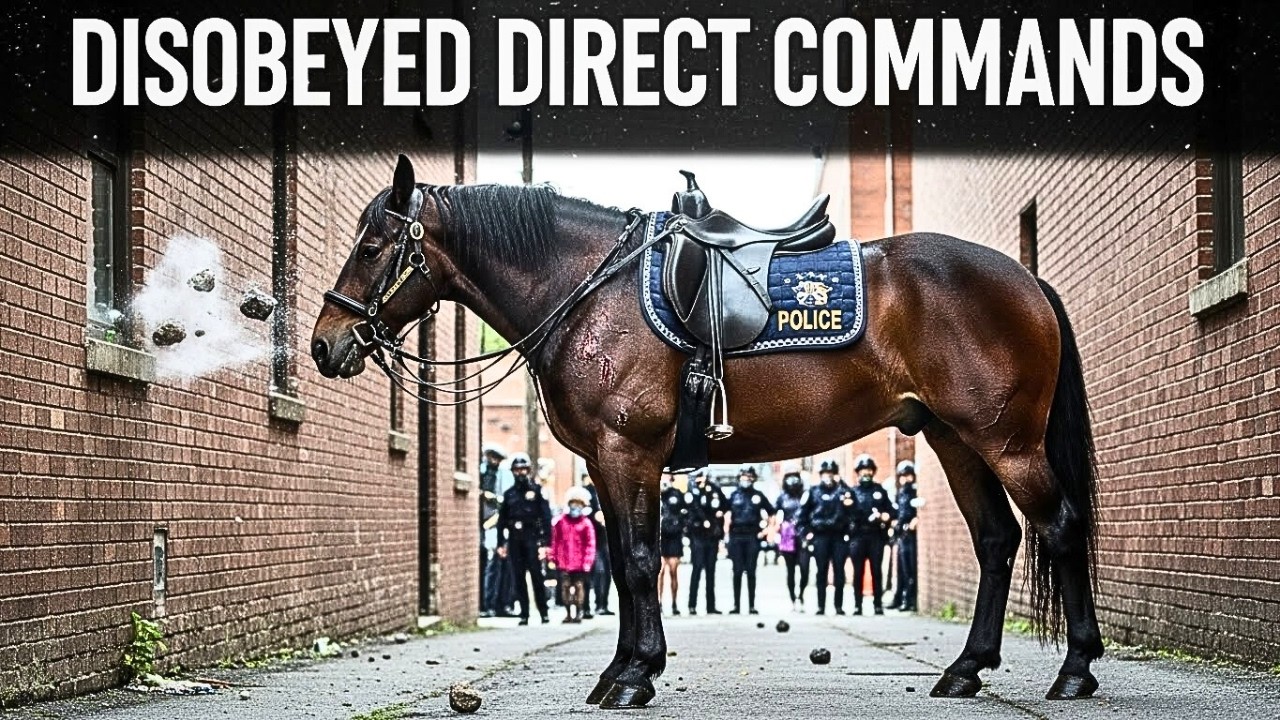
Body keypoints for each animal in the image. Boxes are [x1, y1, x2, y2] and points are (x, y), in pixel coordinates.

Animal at [310, 155, 1104, 708]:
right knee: (998, 540)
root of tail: (1025, 280)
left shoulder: (628, 452)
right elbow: (626, 562)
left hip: (1007, 442)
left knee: (1060, 527)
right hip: (954, 438)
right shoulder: (606, 463)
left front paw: (635, 676)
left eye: (375, 246)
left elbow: (635, 561)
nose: (324, 344)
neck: (589, 292)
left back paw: (1075, 669)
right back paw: (966, 669)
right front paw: (625, 667)